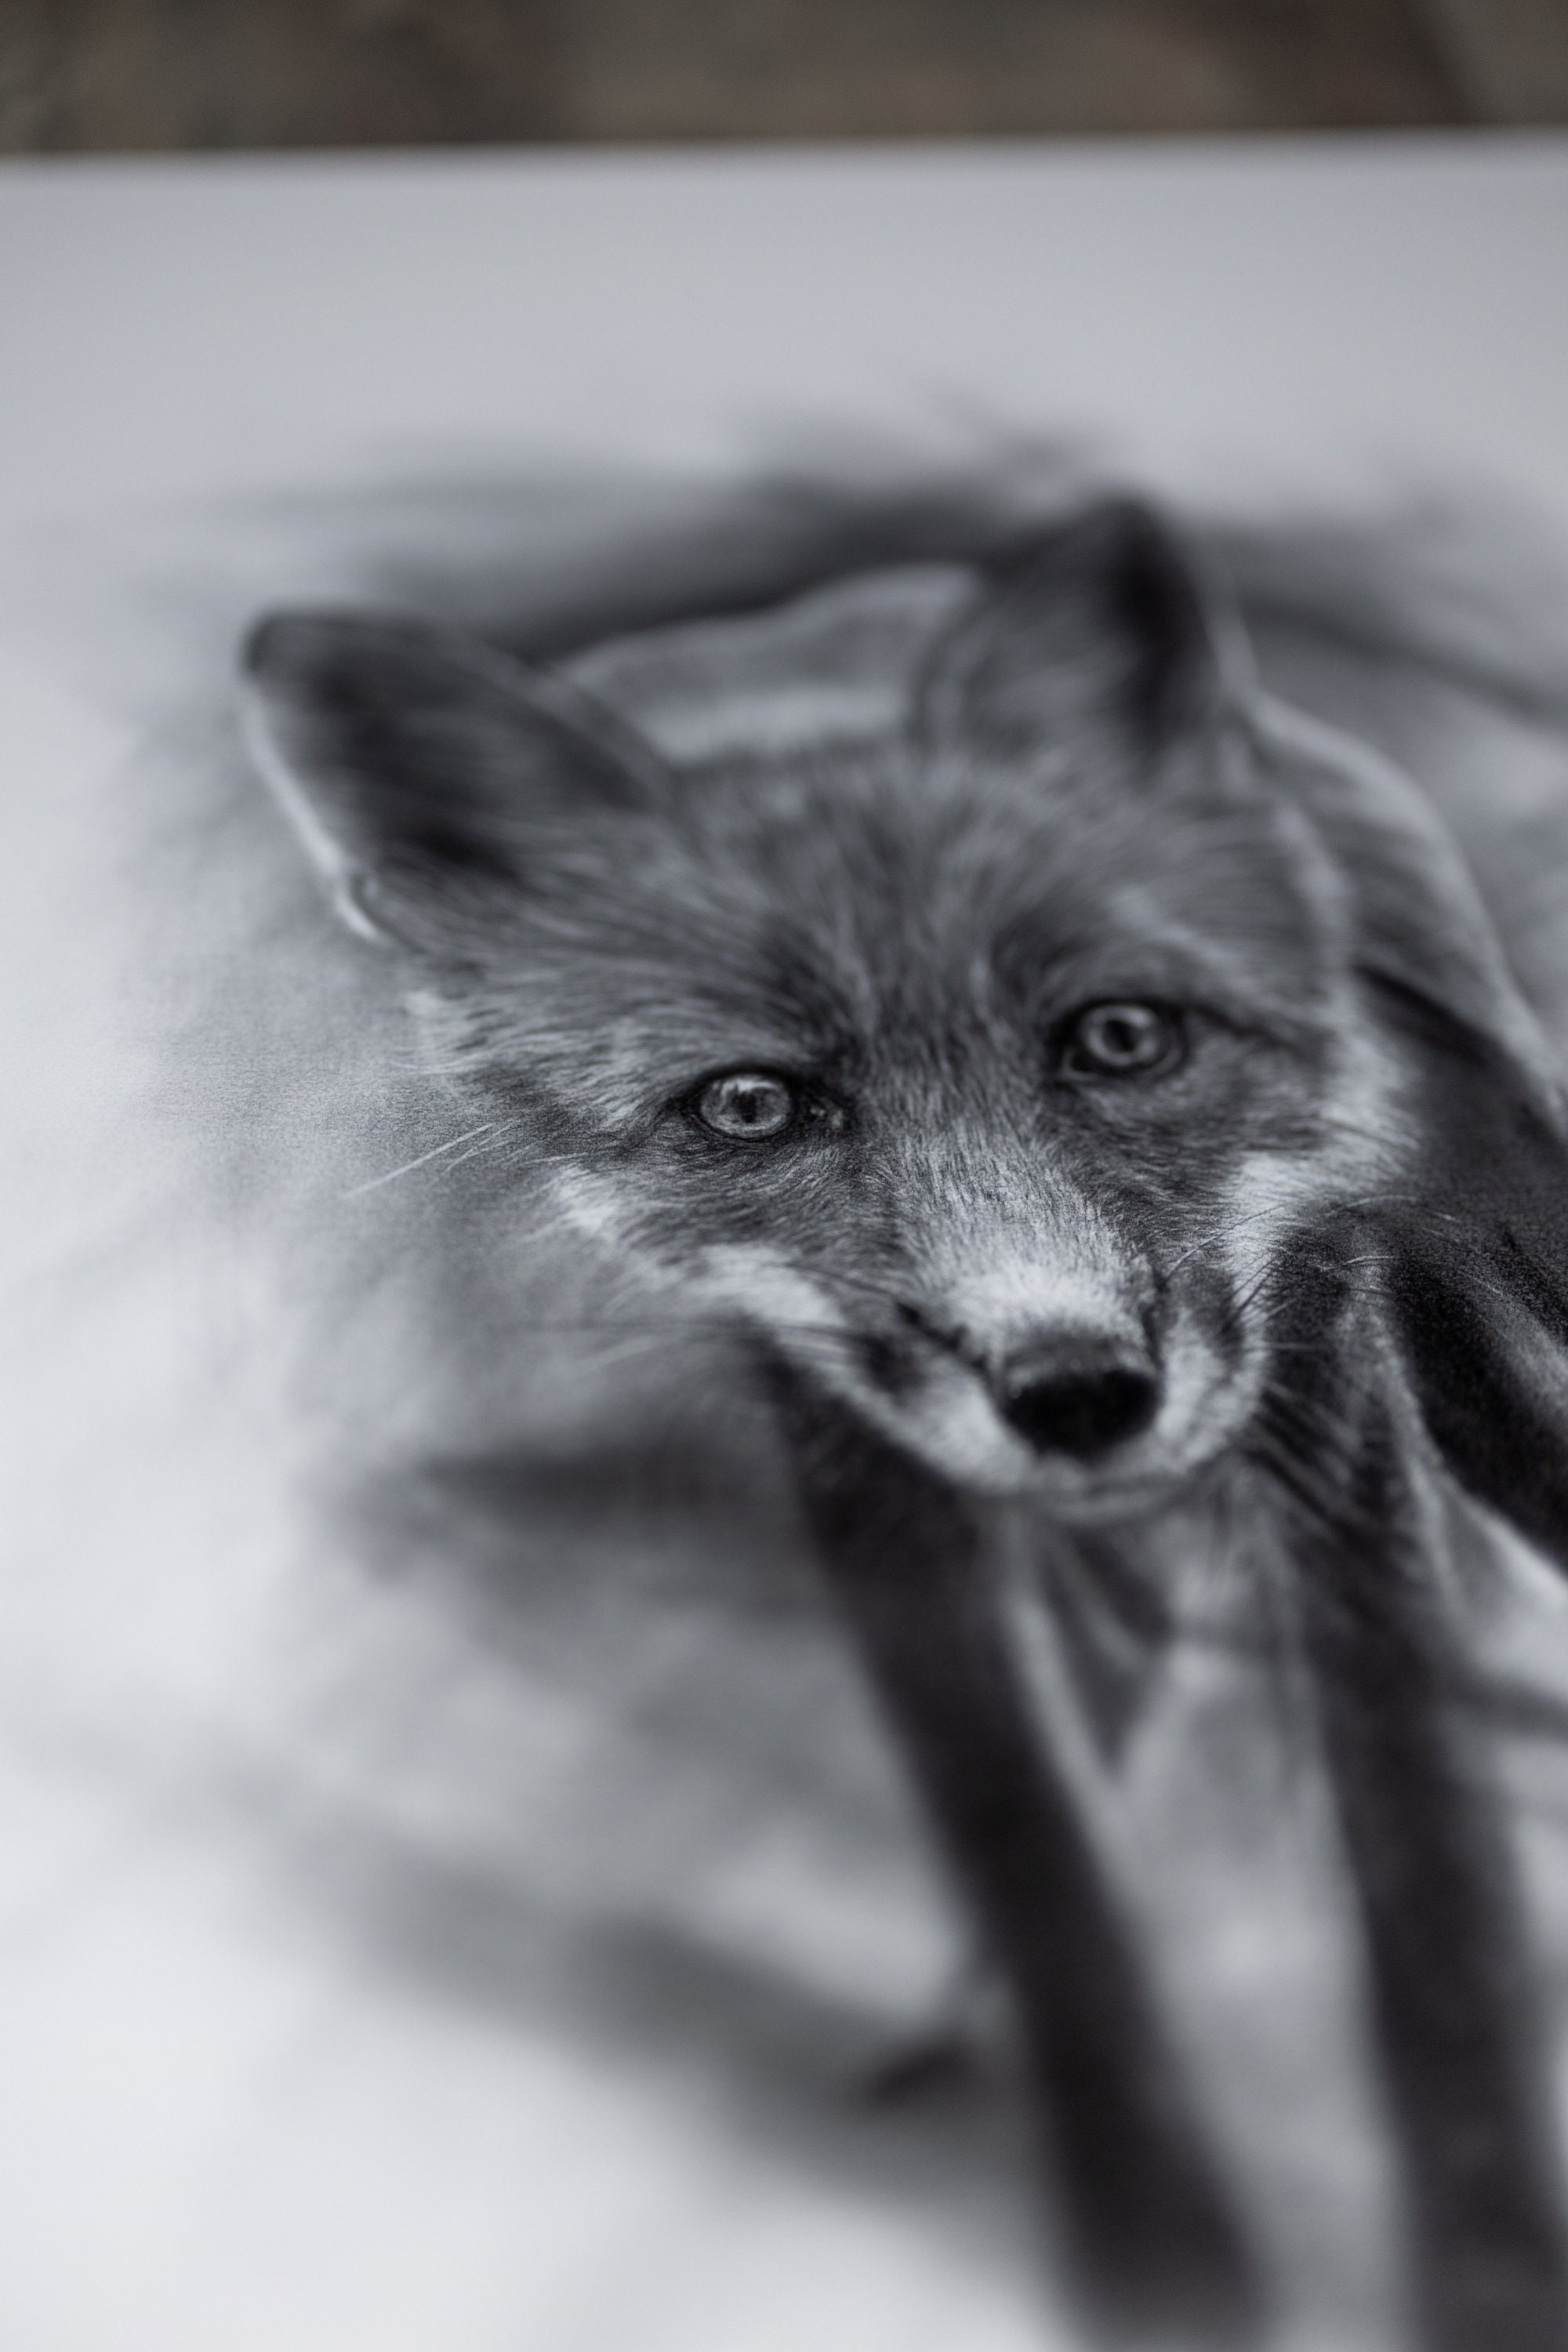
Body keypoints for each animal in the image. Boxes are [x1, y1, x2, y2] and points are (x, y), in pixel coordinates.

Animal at [242, 492, 1568, 2352]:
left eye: (1120, 1037)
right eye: (752, 1106)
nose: (1078, 1392)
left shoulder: (1322, 1427)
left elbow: (1430, 1899)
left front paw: (1484, 2274)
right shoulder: (865, 1466)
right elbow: (1041, 1867)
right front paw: (1158, 2260)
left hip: (1504, 1346)